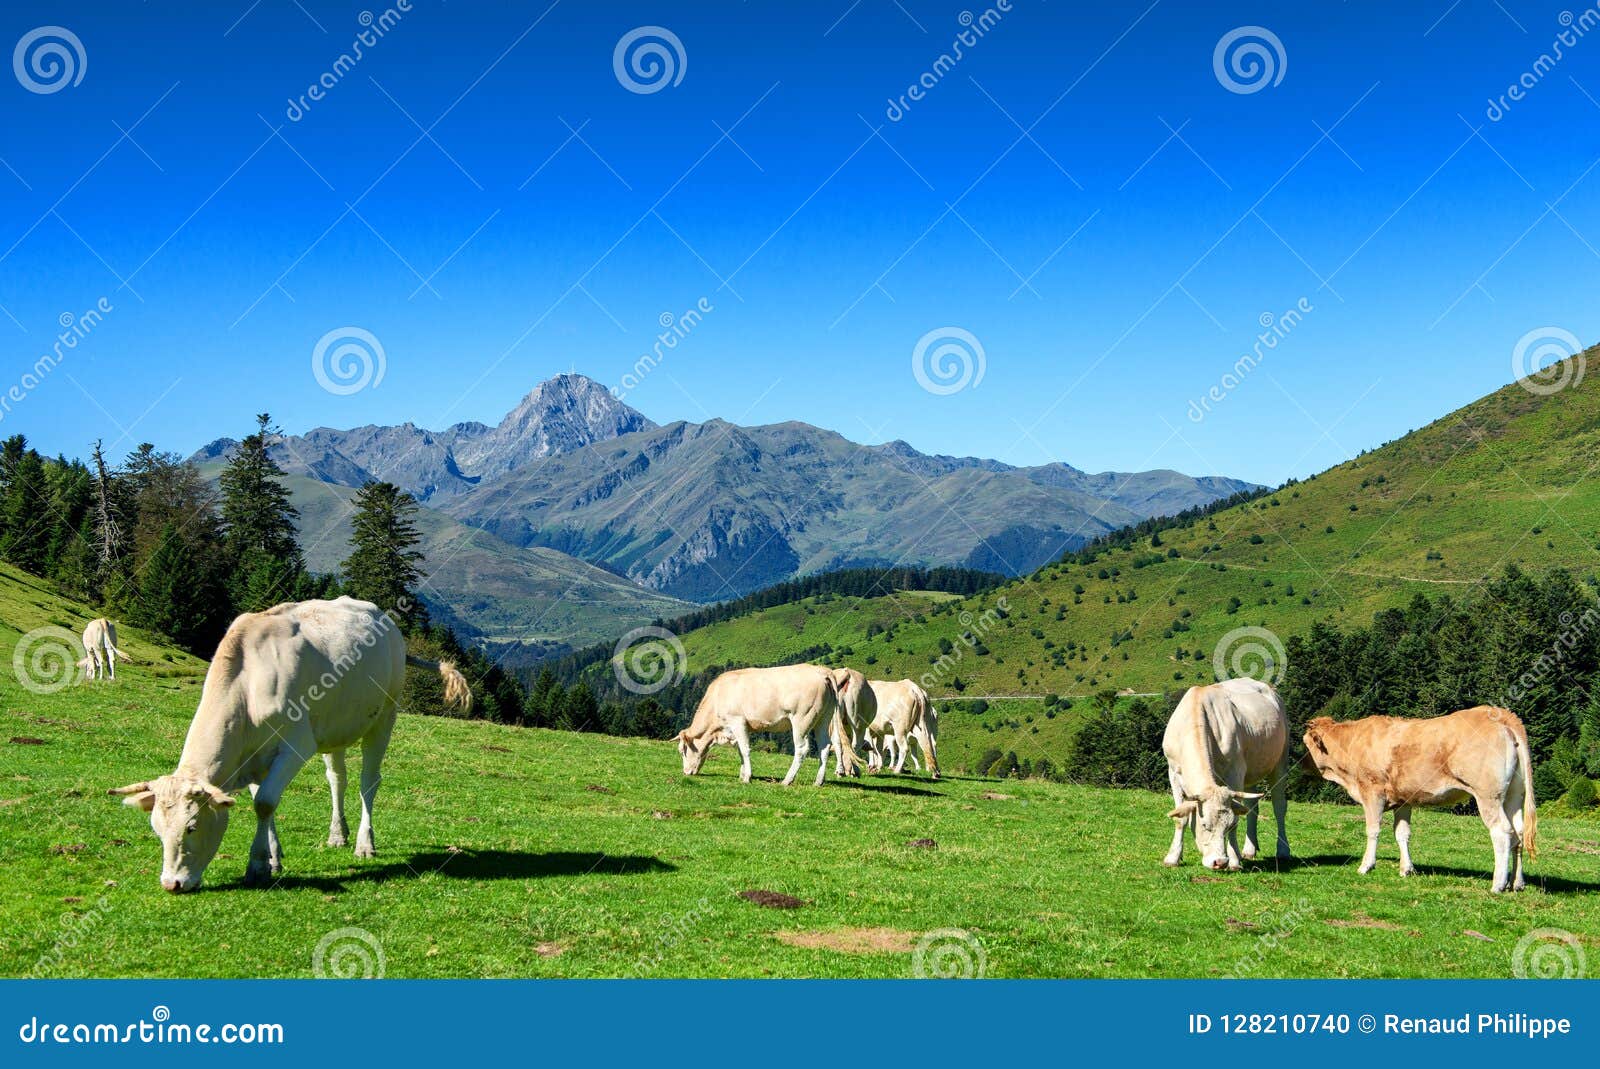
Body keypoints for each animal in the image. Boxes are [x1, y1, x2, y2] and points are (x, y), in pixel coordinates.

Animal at [109, 597, 470, 893]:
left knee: (369, 782)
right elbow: (263, 800)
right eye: (157, 830)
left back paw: (364, 843)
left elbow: (265, 802)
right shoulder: (255, 755)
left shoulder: (296, 745)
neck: (248, 684)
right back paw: (337, 834)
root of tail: (386, 621)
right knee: (337, 779)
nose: (171, 884)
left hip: (385, 716)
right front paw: (274, 857)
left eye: (192, 827)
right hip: (333, 727)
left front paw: (257, 865)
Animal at [676, 664, 842, 786]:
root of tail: (821, 670)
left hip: (802, 719)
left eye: (682, 751)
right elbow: (740, 751)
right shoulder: (742, 727)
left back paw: (787, 780)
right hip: (824, 718)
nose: (685, 772)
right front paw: (742, 774)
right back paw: (818, 781)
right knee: (825, 747)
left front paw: (747, 777)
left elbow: (745, 750)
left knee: (802, 748)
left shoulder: (737, 721)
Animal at [1162, 677, 1290, 871]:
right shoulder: (1173, 773)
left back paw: (1282, 851)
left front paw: (1234, 861)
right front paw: (1173, 857)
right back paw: (1249, 850)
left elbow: (1237, 815)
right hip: (1251, 773)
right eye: (1205, 825)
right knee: (1251, 807)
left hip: (1281, 761)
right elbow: (1181, 817)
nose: (1220, 862)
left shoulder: (1235, 773)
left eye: (1228, 825)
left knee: (1279, 806)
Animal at [1302, 707, 1537, 893]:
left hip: (1488, 795)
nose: (1301, 766)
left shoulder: (1372, 791)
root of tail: (1502, 715)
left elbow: (1373, 830)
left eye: (1305, 744)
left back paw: (1498, 884)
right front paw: (1406, 869)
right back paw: (1517, 883)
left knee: (1502, 831)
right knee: (1518, 832)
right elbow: (1402, 833)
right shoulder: (1403, 800)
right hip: (1514, 795)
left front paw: (1366, 866)